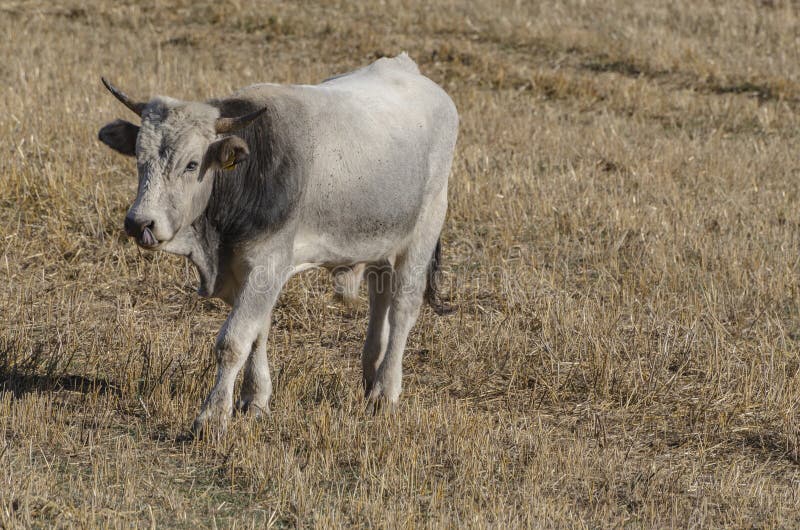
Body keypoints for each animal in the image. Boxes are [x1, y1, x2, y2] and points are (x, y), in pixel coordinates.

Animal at [98, 53, 458, 434]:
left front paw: (213, 416)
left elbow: (233, 341)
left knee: (403, 306)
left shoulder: (267, 265)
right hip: (381, 240)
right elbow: (258, 332)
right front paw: (254, 399)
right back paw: (371, 375)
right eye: (140, 160)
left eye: (192, 164)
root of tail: (409, 69)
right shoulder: (242, 271)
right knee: (380, 297)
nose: (140, 223)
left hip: (424, 229)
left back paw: (385, 390)